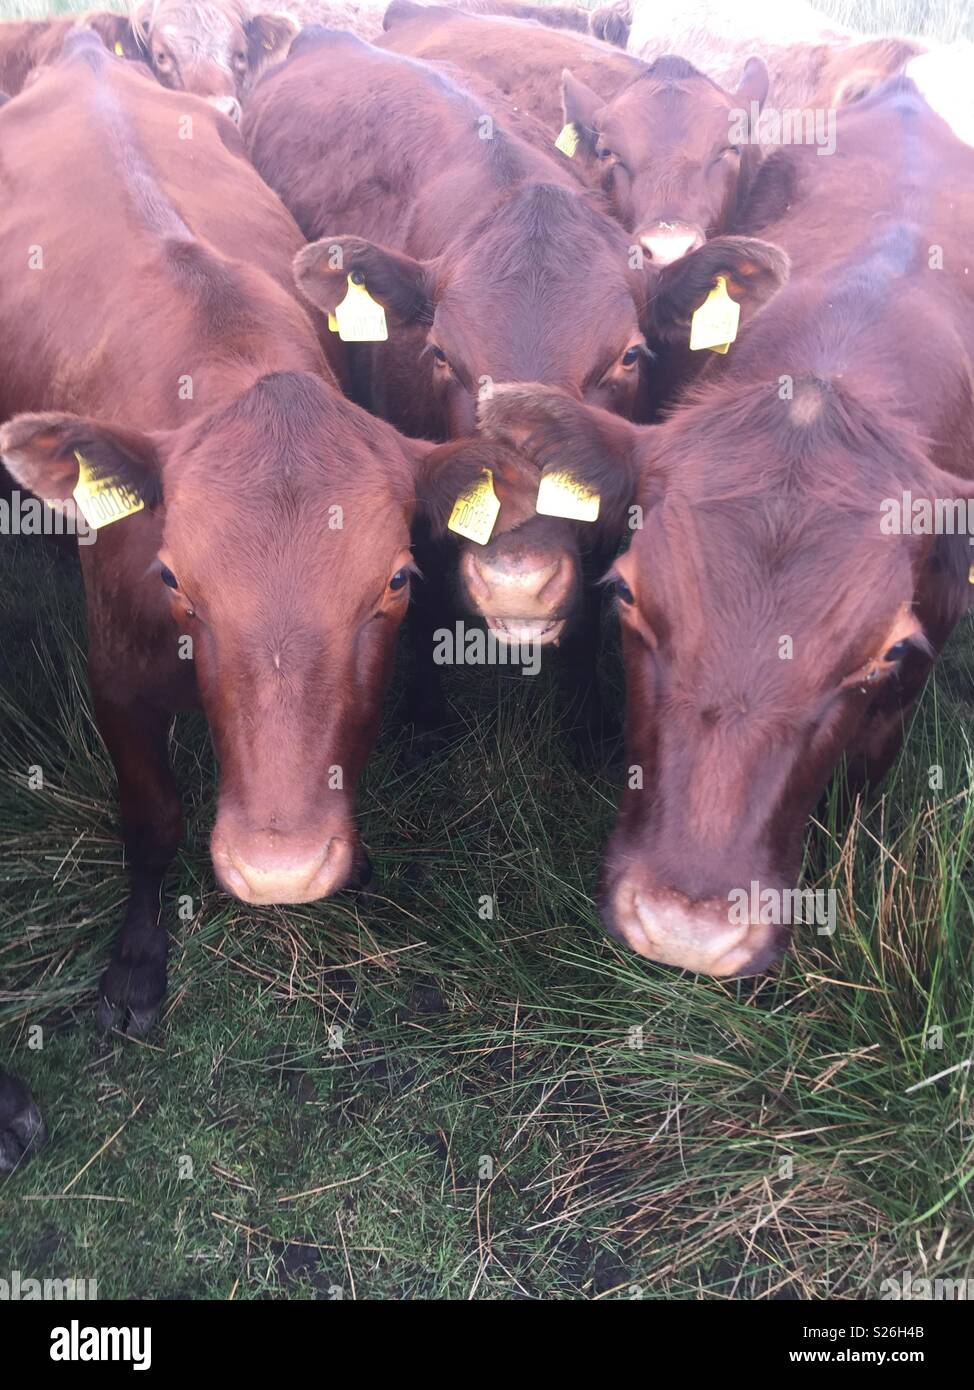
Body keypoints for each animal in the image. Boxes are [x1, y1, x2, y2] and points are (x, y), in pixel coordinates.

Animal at [0, 31, 525, 1034]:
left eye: (397, 580)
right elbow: (151, 817)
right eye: (172, 578)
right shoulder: (116, 672)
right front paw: (136, 962)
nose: (277, 868)